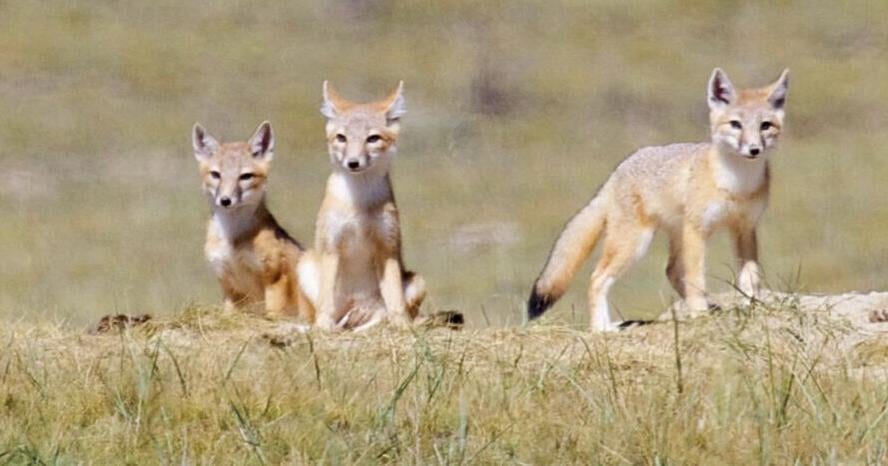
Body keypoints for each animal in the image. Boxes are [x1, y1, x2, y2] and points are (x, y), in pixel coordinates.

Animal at [192, 121, 314, 322]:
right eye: (216, 175)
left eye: (245, 176)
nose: (225, 200)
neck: (232, 239)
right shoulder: (228, 285)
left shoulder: (275, 278)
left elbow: (273, 315)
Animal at [298, 81, 460, 331]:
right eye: (341, 138)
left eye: (372, 139)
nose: (353, 163)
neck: (359, 203)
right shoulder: (332, 247)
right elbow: (326, 302)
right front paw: (322, 328)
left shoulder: (387, 247)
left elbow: (395, 300)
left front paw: (403, 327)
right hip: (306, 264)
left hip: (417, 281)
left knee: (378, 319)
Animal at [528, 68, 790, 331]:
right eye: (736, 124)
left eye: (765, 126)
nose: (754, 149)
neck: (736, 185)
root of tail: (616, 173)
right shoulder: (697, 229)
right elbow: (696, 277)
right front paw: (700, 313)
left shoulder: (745, 228)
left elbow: (750, 275)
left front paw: (752, 306)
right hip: (635, 243)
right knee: (597, 278)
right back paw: (602, 329)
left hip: (671, 236)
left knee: (671, 270)